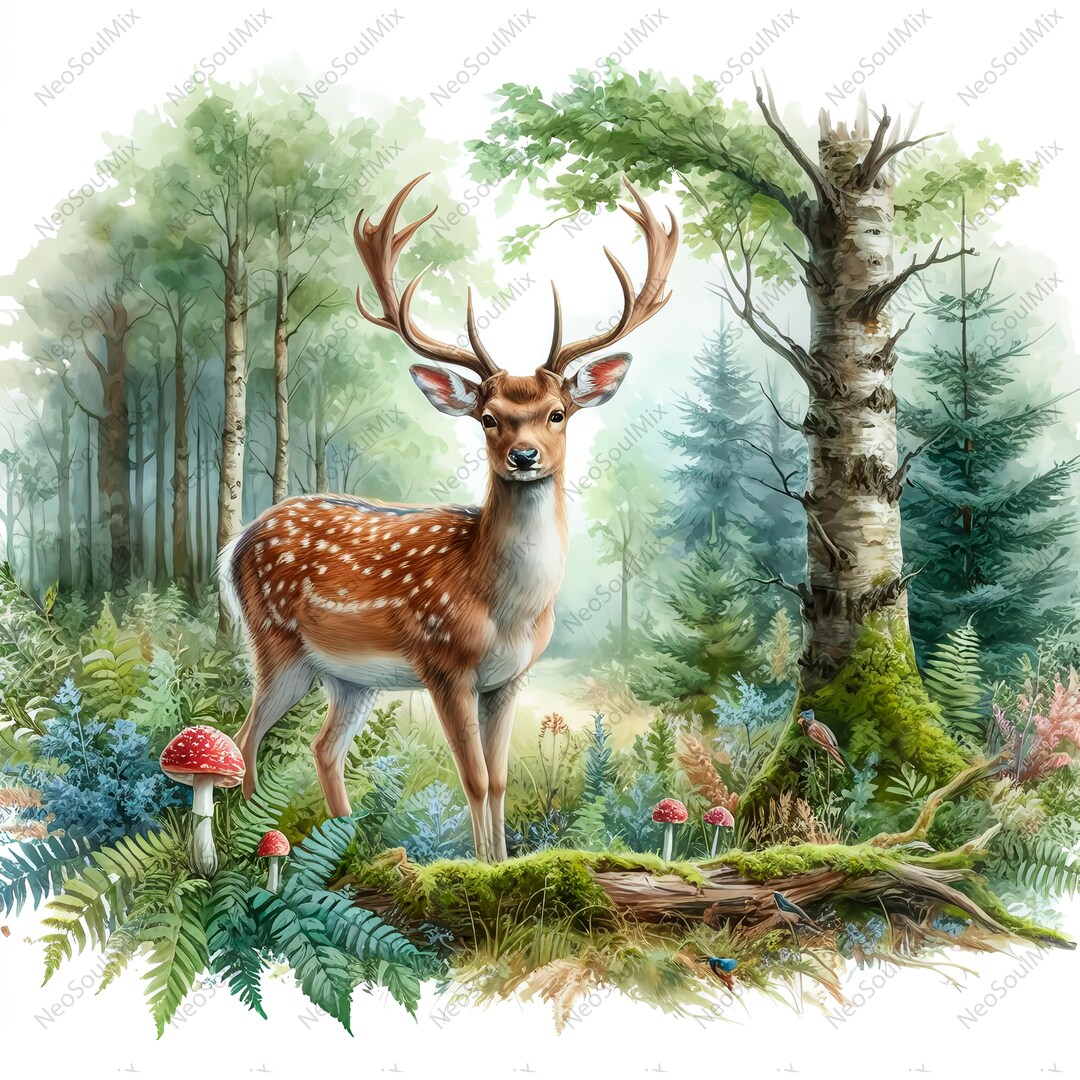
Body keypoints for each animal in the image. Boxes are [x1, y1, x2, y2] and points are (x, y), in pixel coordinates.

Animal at [220, 174, 678, 861]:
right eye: (488, 418)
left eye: (557, 413)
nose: (524, 456)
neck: (505, 606)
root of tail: (237, 541)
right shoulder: (443, 664)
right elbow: (474, 776)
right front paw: (485, 866)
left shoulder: (507, 679)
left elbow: (501, 778)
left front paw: (501, 864)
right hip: (275, 642)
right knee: (248, 737)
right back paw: (249, 853)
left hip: (348, 677)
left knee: (322, 747)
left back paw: (354, 848)